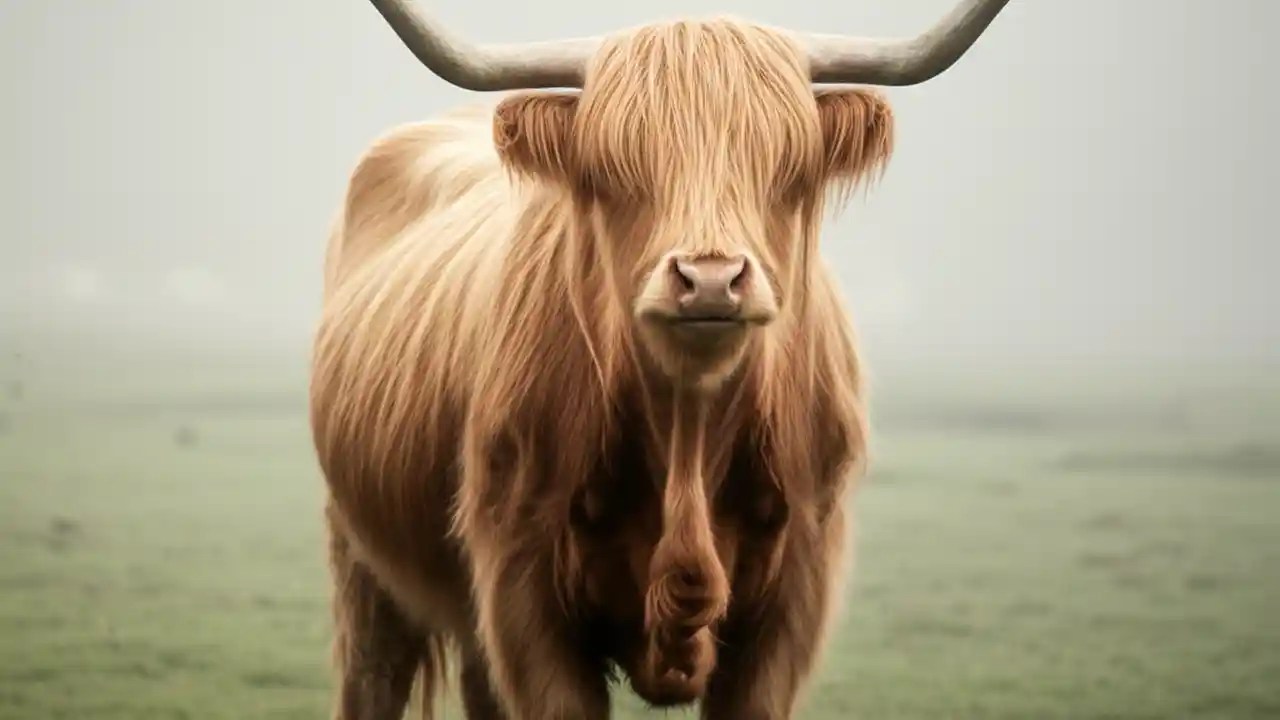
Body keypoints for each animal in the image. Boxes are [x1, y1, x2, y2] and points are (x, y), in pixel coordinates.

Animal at [308, 1, 1012, 718]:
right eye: (613, 171)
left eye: (787, 168)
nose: (710, 280)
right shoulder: (523, 593)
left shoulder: (796, 596)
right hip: (362, 558)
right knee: (374, 674)